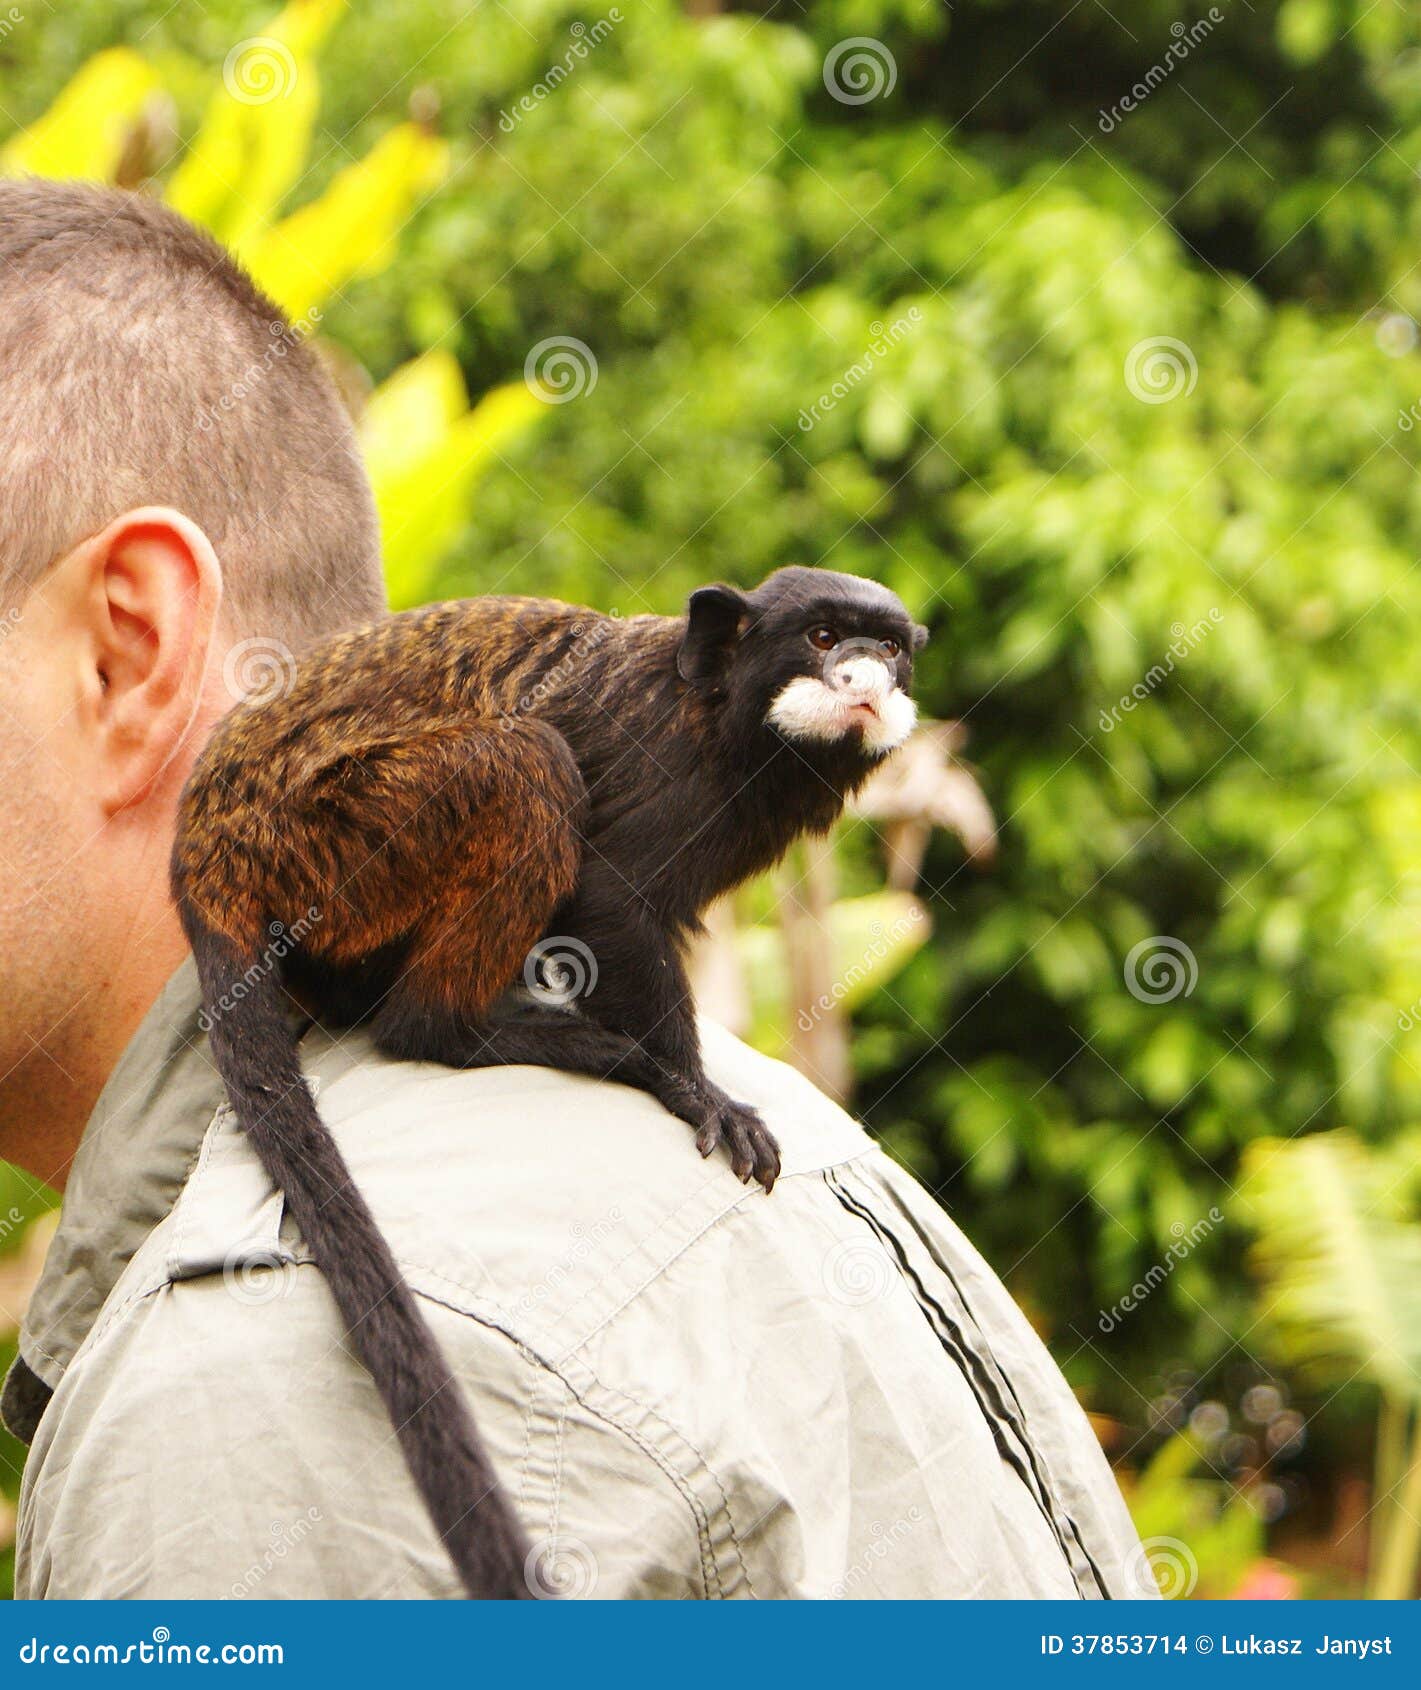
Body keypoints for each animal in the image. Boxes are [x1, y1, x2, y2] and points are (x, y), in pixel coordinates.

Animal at [170, 565, 927, 1598]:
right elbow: (611, 897)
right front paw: (695, 1089)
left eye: (886, 645)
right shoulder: (659, 768)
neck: (718, 716)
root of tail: (210, 850)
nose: (862, 671)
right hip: (327, 841)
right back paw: (460, 1026)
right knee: (522, 765)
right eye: (819, 637)